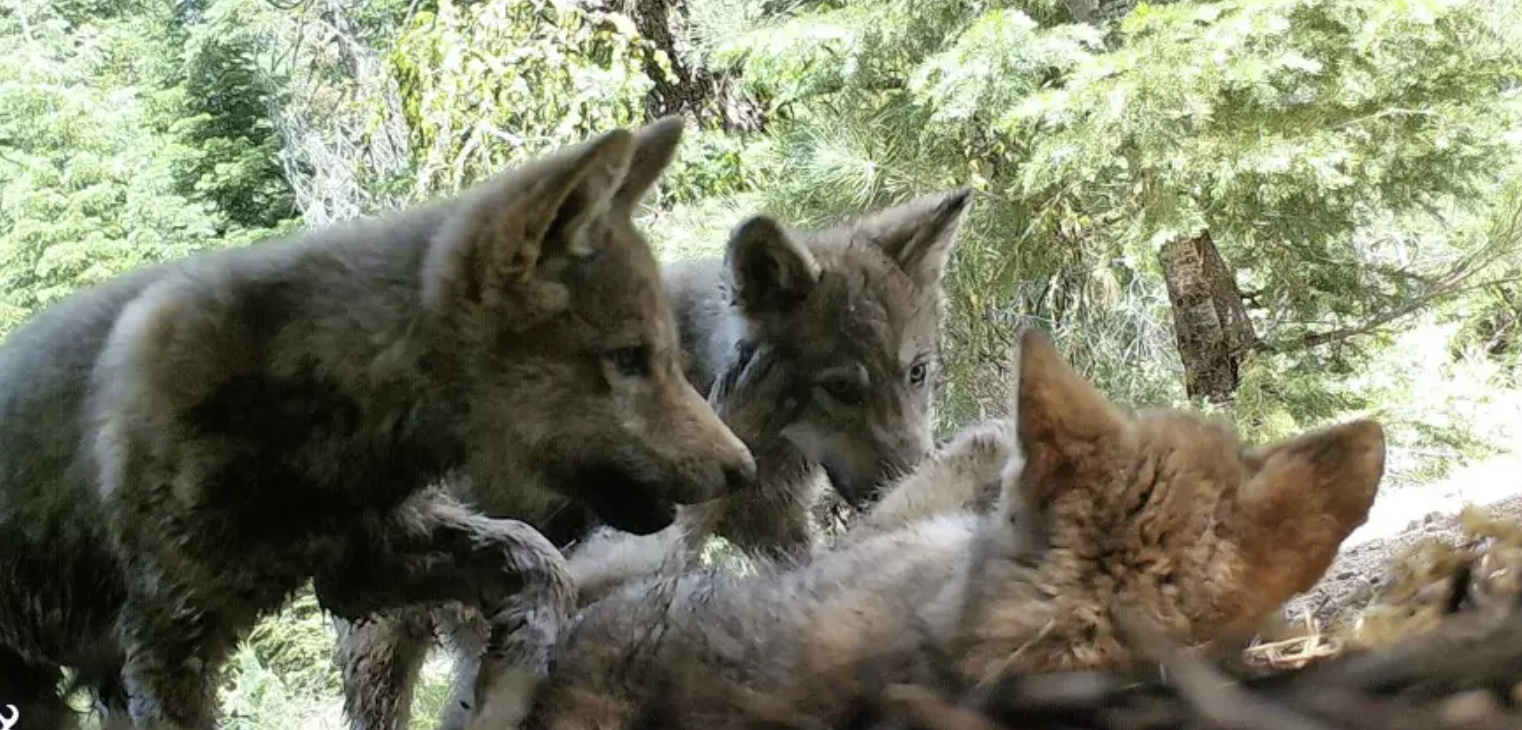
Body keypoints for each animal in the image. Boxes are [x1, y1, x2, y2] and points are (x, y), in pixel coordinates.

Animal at [0, 116, 756, 730]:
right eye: (629, 359)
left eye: (666, 356)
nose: (743, 469)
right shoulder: (166, 644)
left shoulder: (366, 567)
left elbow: (540, 565)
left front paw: (508, 675)